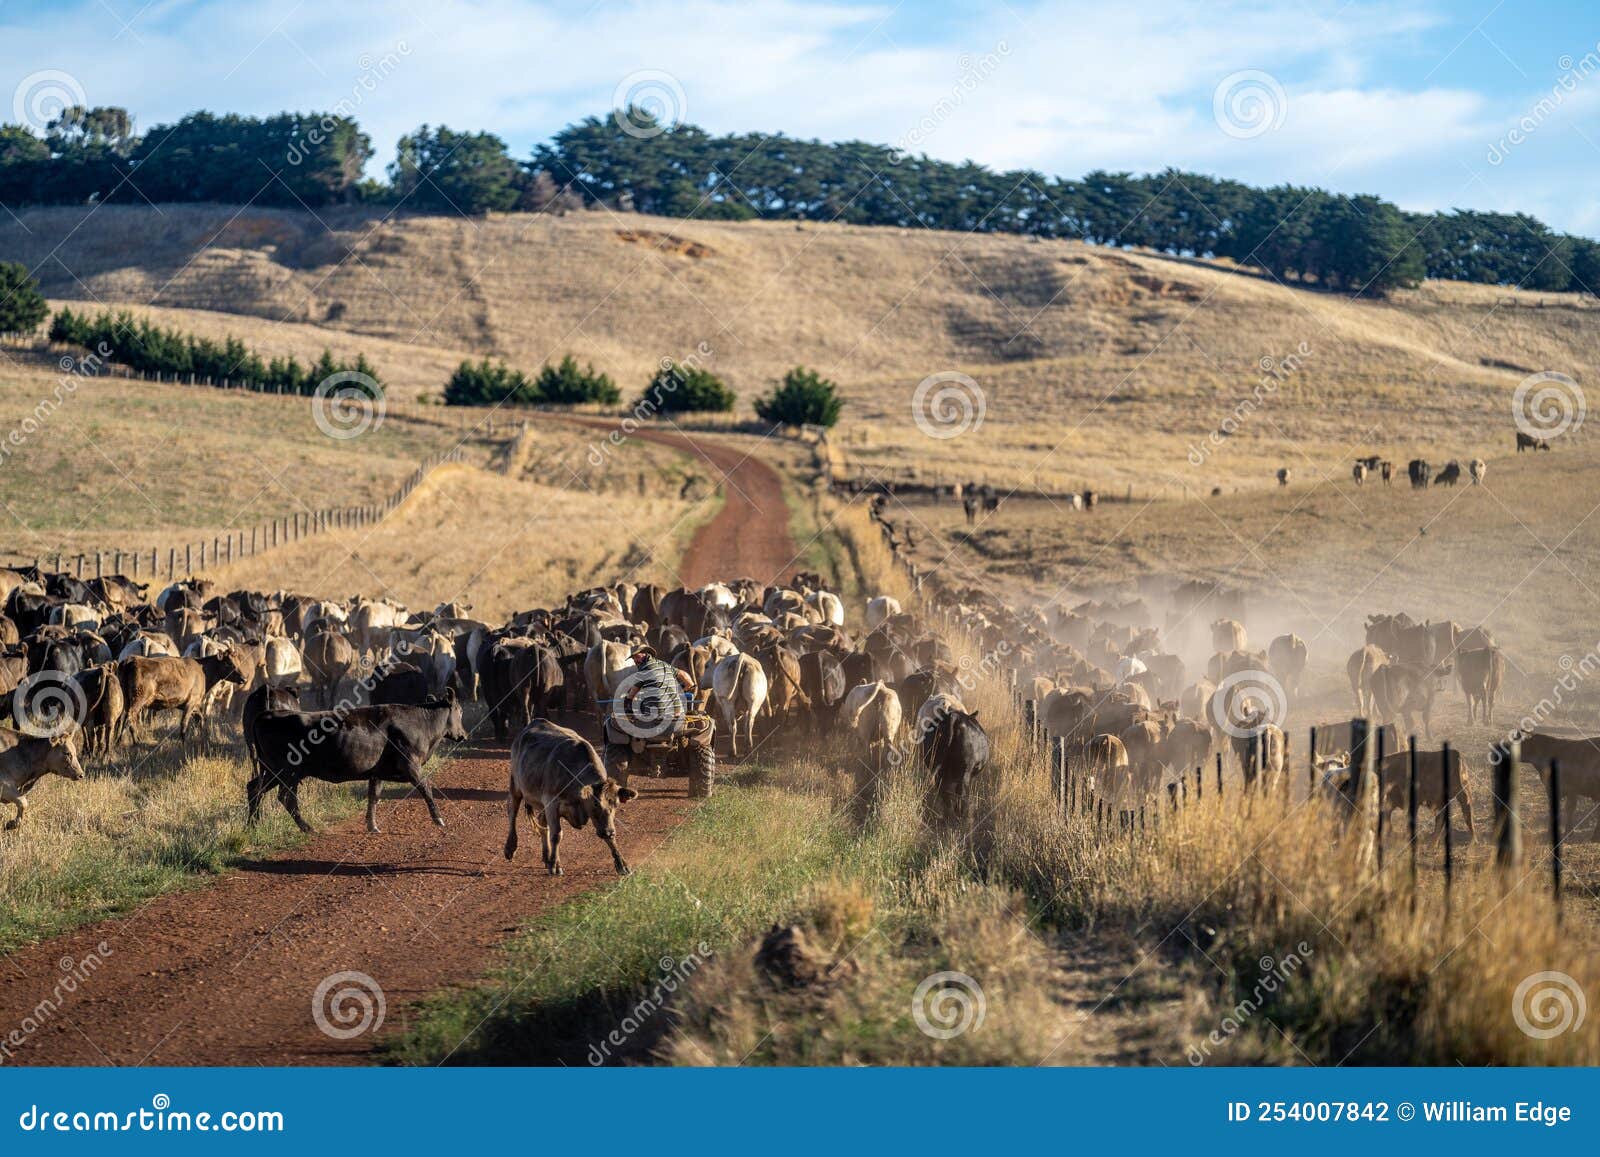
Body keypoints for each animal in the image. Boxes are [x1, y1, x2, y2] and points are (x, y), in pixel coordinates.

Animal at [247, 692, 466, 834]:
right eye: (459, 710)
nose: (463, 735)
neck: (420, 721)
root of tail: (267, 715)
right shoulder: (411, 766)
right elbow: (426, 788)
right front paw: (438, 819)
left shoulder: (377, 773)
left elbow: (374, 796)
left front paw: (372, 825)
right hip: (287, 772)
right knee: (286, 798)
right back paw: (308, 828)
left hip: (272, 772)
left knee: (254, 789)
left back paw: (253, 824)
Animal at [504, 719, 637, 875]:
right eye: (596, 804)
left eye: (616, 804)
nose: (609, 831)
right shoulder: (551, 803)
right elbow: (556, 834)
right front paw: (555, 865)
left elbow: (609, 838)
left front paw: (621, 863)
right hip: (515, 785)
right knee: (512, 811)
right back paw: (510, 847)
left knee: (542, 823)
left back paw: (546, 856)